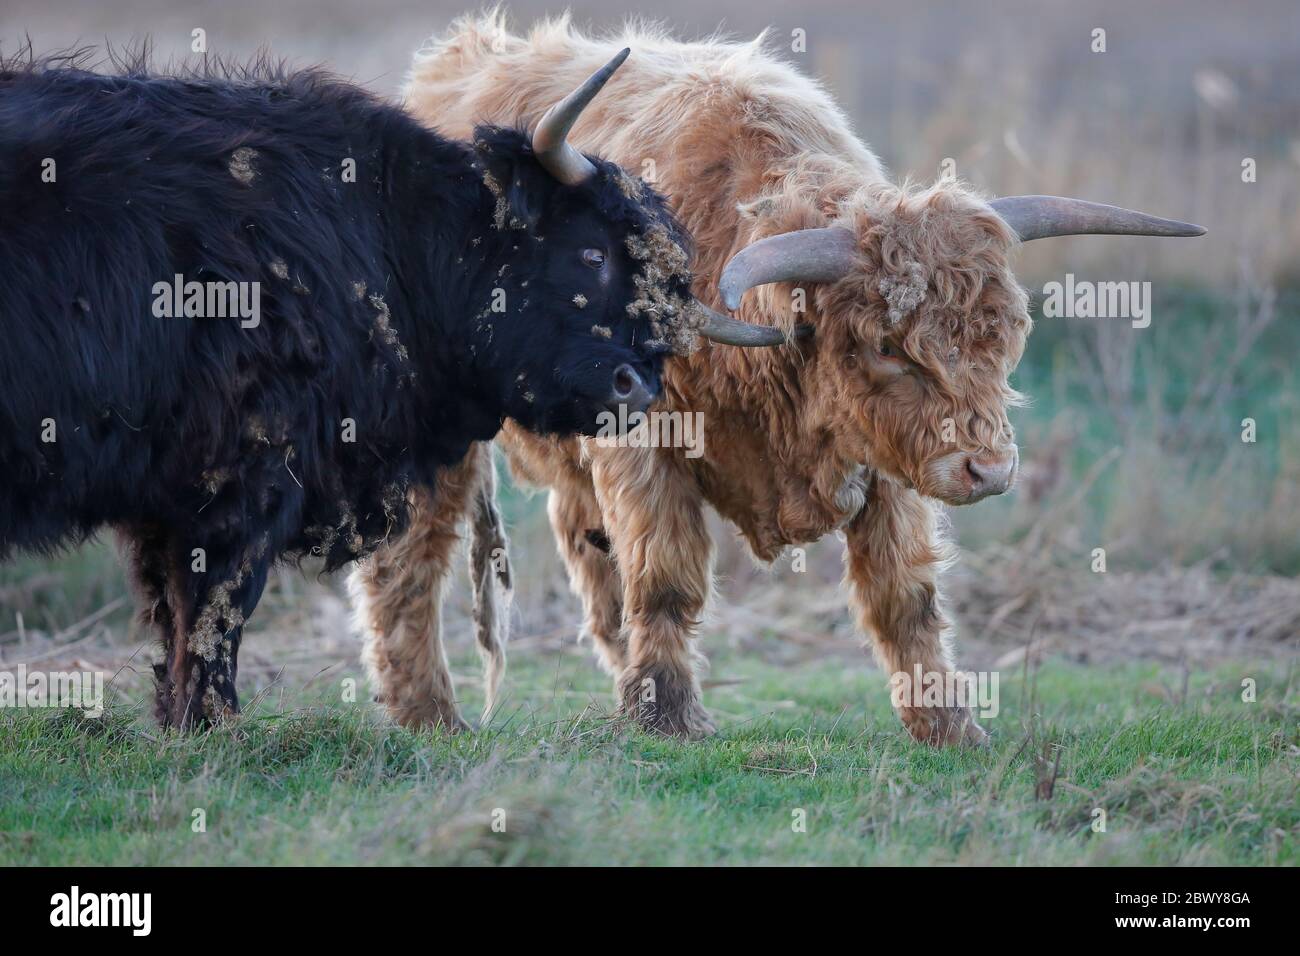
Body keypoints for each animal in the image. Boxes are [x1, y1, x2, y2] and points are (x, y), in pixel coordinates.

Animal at [0, 47, 784, 729]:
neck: (389, 239)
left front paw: (182, 723)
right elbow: (213, 609)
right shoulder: (241, 480)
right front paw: (214, 727)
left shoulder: (171, 498)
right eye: (591, 253)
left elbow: (176, 615)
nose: (636, 385)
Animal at [350, 14, 1205, 744]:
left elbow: (905, 597)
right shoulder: (643, 440)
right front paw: (669, 720)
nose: (988, 470)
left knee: (586, 557)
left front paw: (948, 725)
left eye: (1007, 333)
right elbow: (664, 577)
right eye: (889, 345)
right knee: (412, 556)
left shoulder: (884, 463)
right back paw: (429, 713)